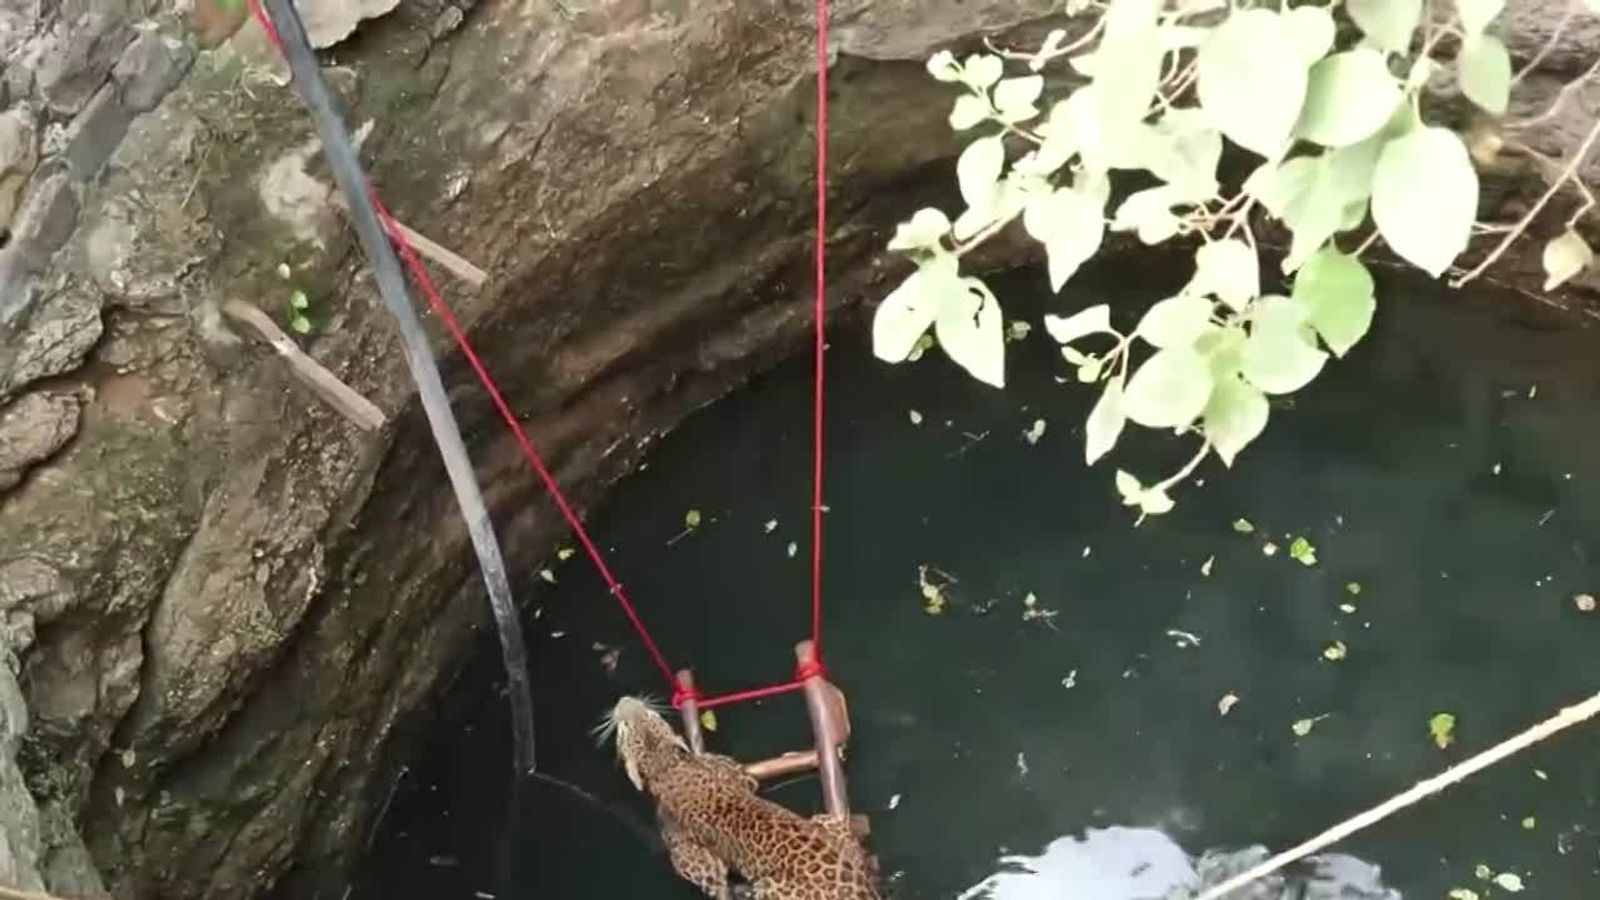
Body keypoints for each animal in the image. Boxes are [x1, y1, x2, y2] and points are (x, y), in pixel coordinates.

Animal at [602, 696, 882, 900]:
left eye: (624, 729)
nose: (625, 701)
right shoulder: (734, 774)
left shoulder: (692, 856)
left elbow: (709, 878)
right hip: (826, 822)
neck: (666, 765)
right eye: (650, 716)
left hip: (769, 889)